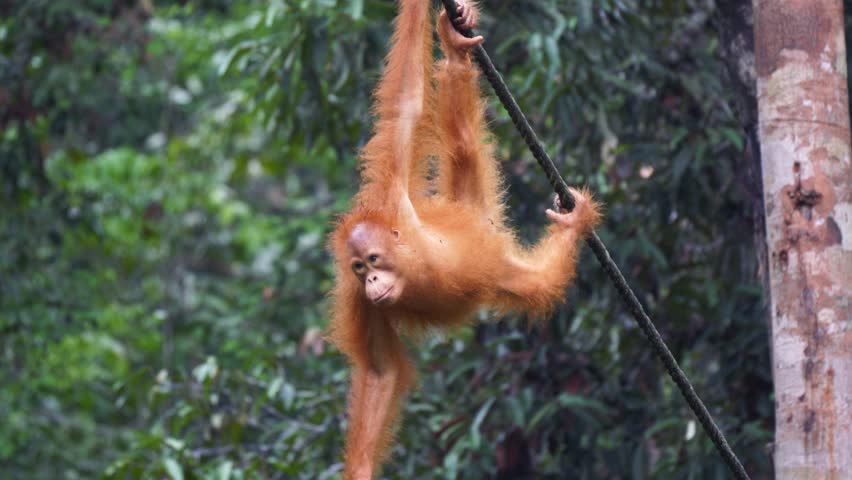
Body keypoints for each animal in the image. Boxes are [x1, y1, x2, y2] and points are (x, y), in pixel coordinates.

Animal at [328, 1, 601, 478]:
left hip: (494, 259)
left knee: (537, 279)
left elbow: (408, 103)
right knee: (463, 143)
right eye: (359, 269)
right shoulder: (356, 297)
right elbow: (380, 372)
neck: (410, 259)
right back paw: (456, 54)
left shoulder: (394, 199)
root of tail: (473, 214)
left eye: (375, 260)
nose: (373, 281)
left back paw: (573, 225)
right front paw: (360, 470)